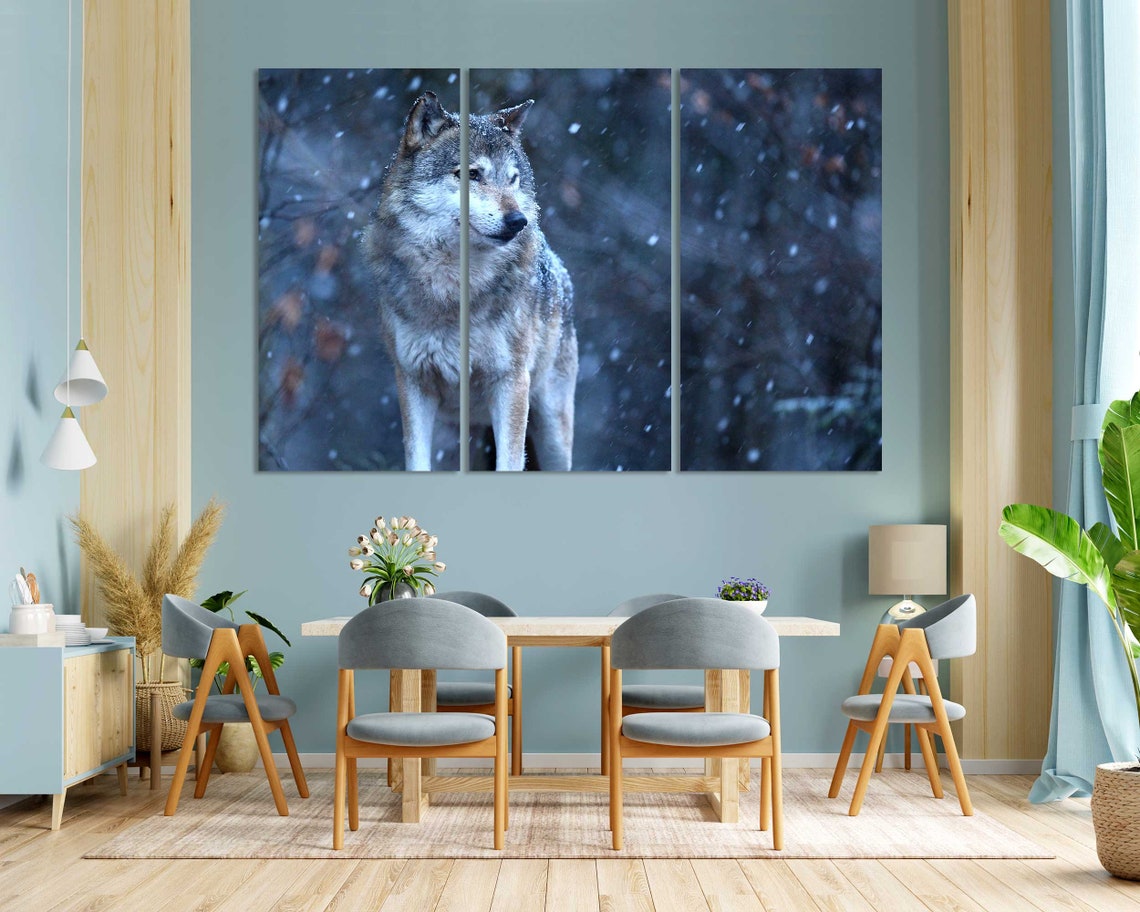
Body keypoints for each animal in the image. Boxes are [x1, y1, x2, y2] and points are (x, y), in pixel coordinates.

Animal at [362, 91, 577, 471]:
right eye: (471, 174)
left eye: (513, 179)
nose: (518, 220)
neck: (454, 287)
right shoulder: (413, 381)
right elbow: (416, 461)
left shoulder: (510, 382)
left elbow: (510, 464)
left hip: (552, 434)